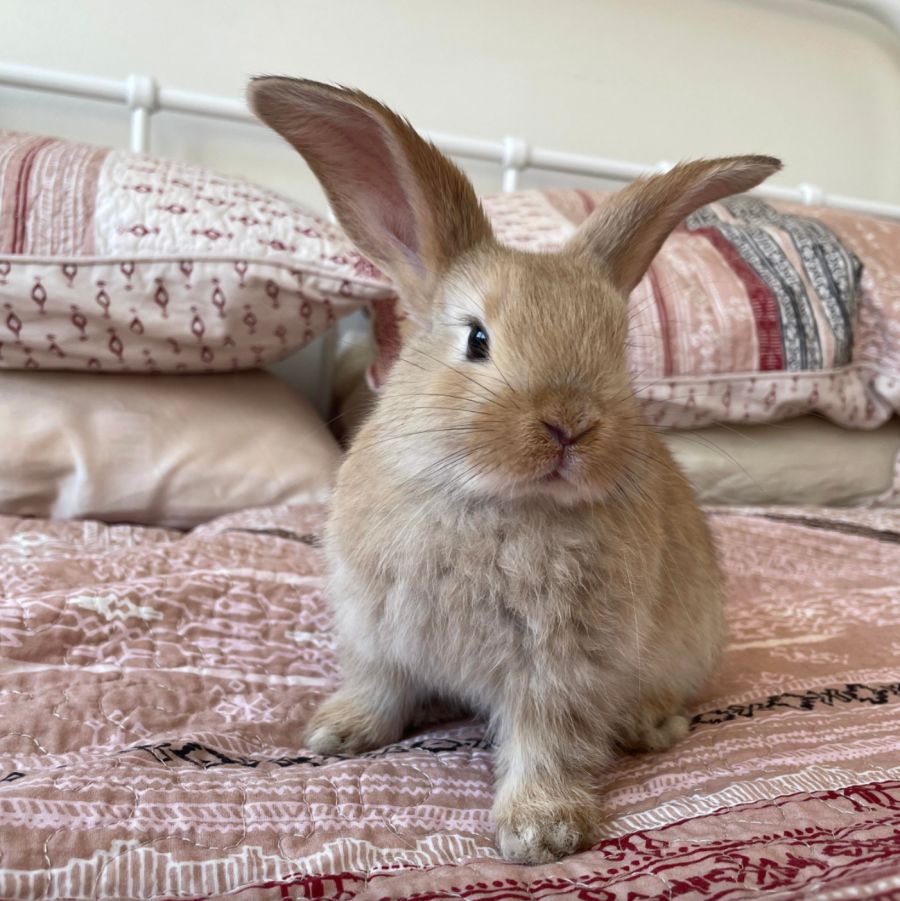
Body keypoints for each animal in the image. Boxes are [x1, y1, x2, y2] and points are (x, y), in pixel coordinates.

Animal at [248, 76, 780, 865]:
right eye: (477, 340)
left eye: (619, 350)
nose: (570, 423)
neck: (492, 502)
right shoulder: (377, 637)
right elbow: (379, 688)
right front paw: (336, 733)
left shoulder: (560, 671)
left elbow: (547, 741)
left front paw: (540, 832)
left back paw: (650, 726)